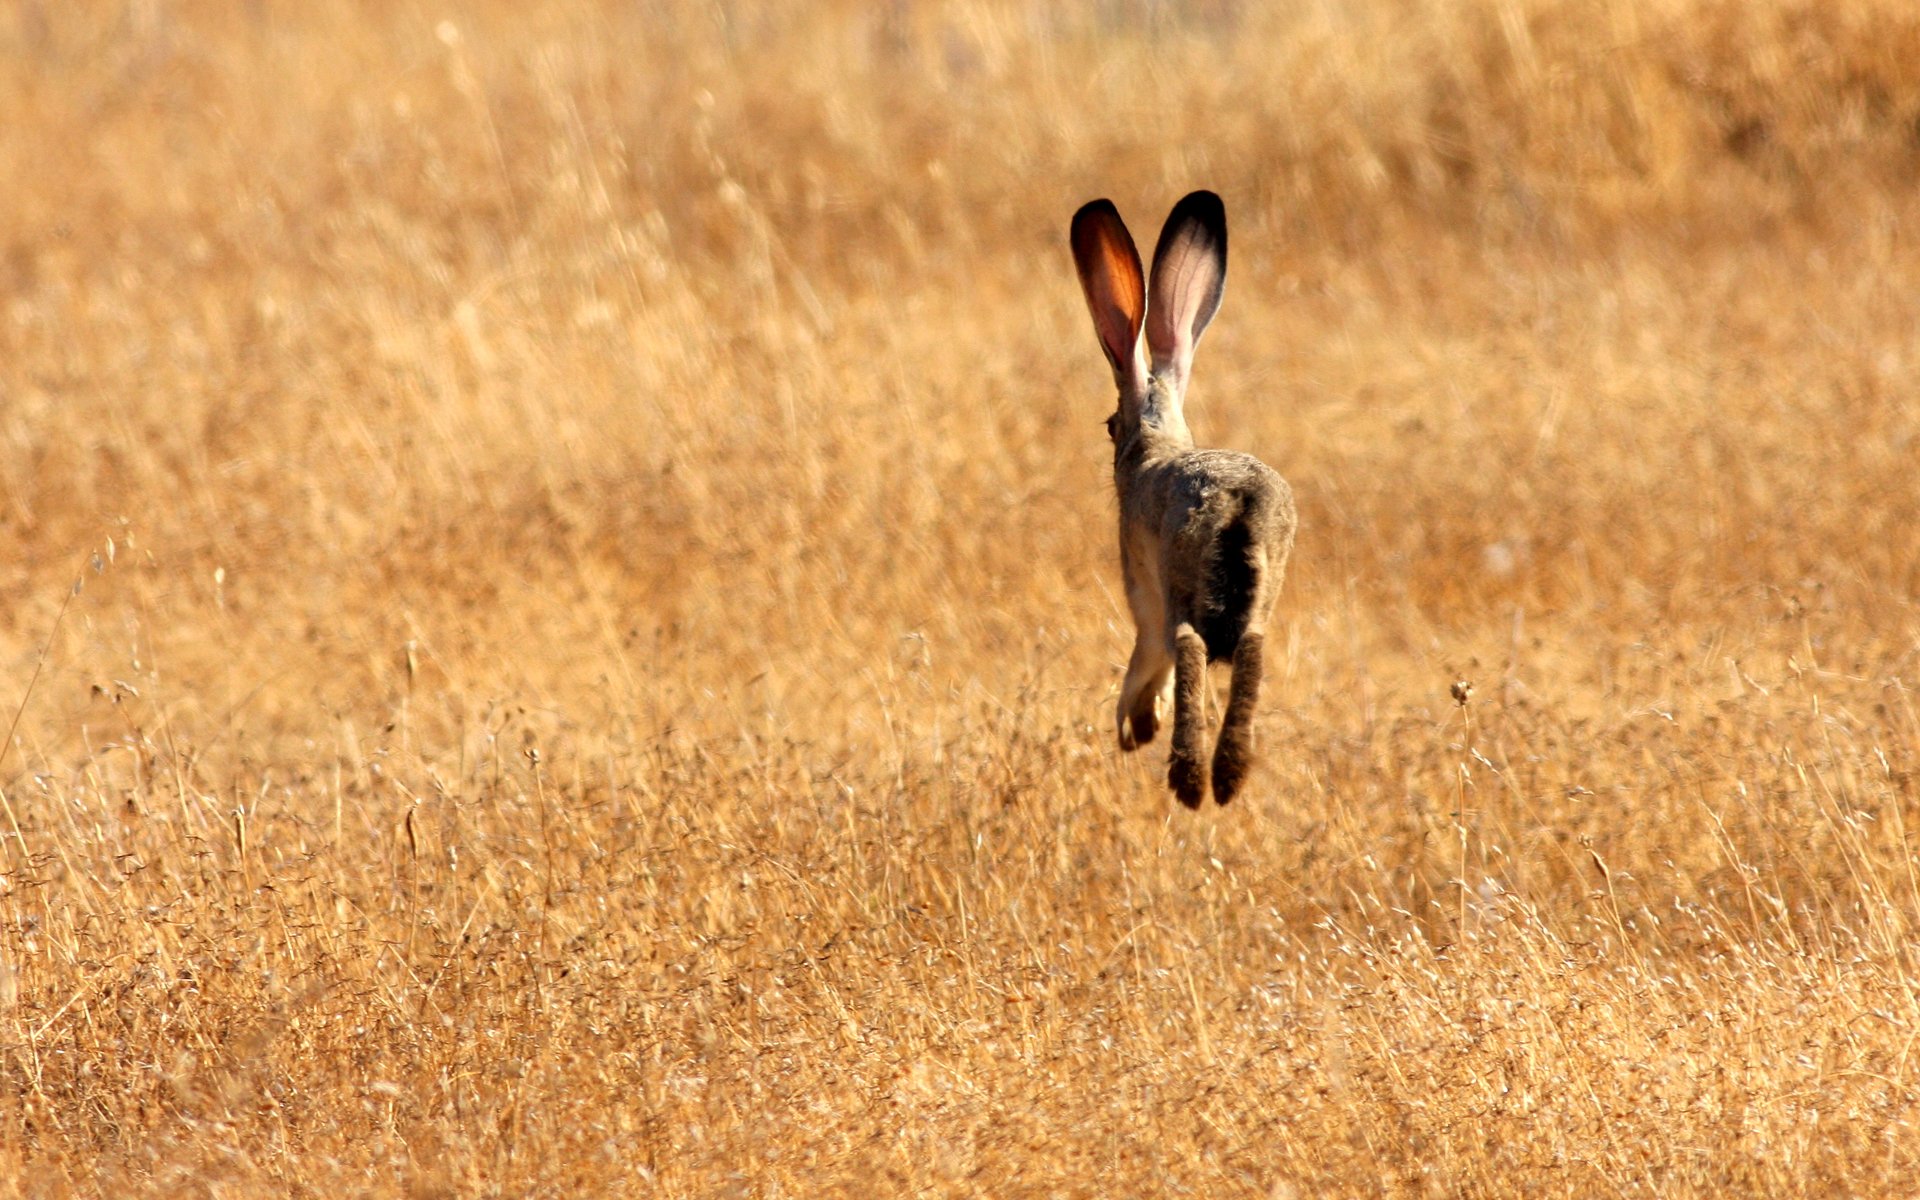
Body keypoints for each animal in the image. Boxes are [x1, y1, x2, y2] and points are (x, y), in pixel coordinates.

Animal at [1069, 190, 1296, 807]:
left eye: (1107, 426)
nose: (1109, 440)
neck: (1161, 444)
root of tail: (1236, 502)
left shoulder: (1138, 586)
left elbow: (1147, 657)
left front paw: (1136, 724)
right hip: (1264, 588)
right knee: (1252, 650)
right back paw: (1228, 774)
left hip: (1177, 584)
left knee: (1188, 646)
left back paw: (1190, 777)